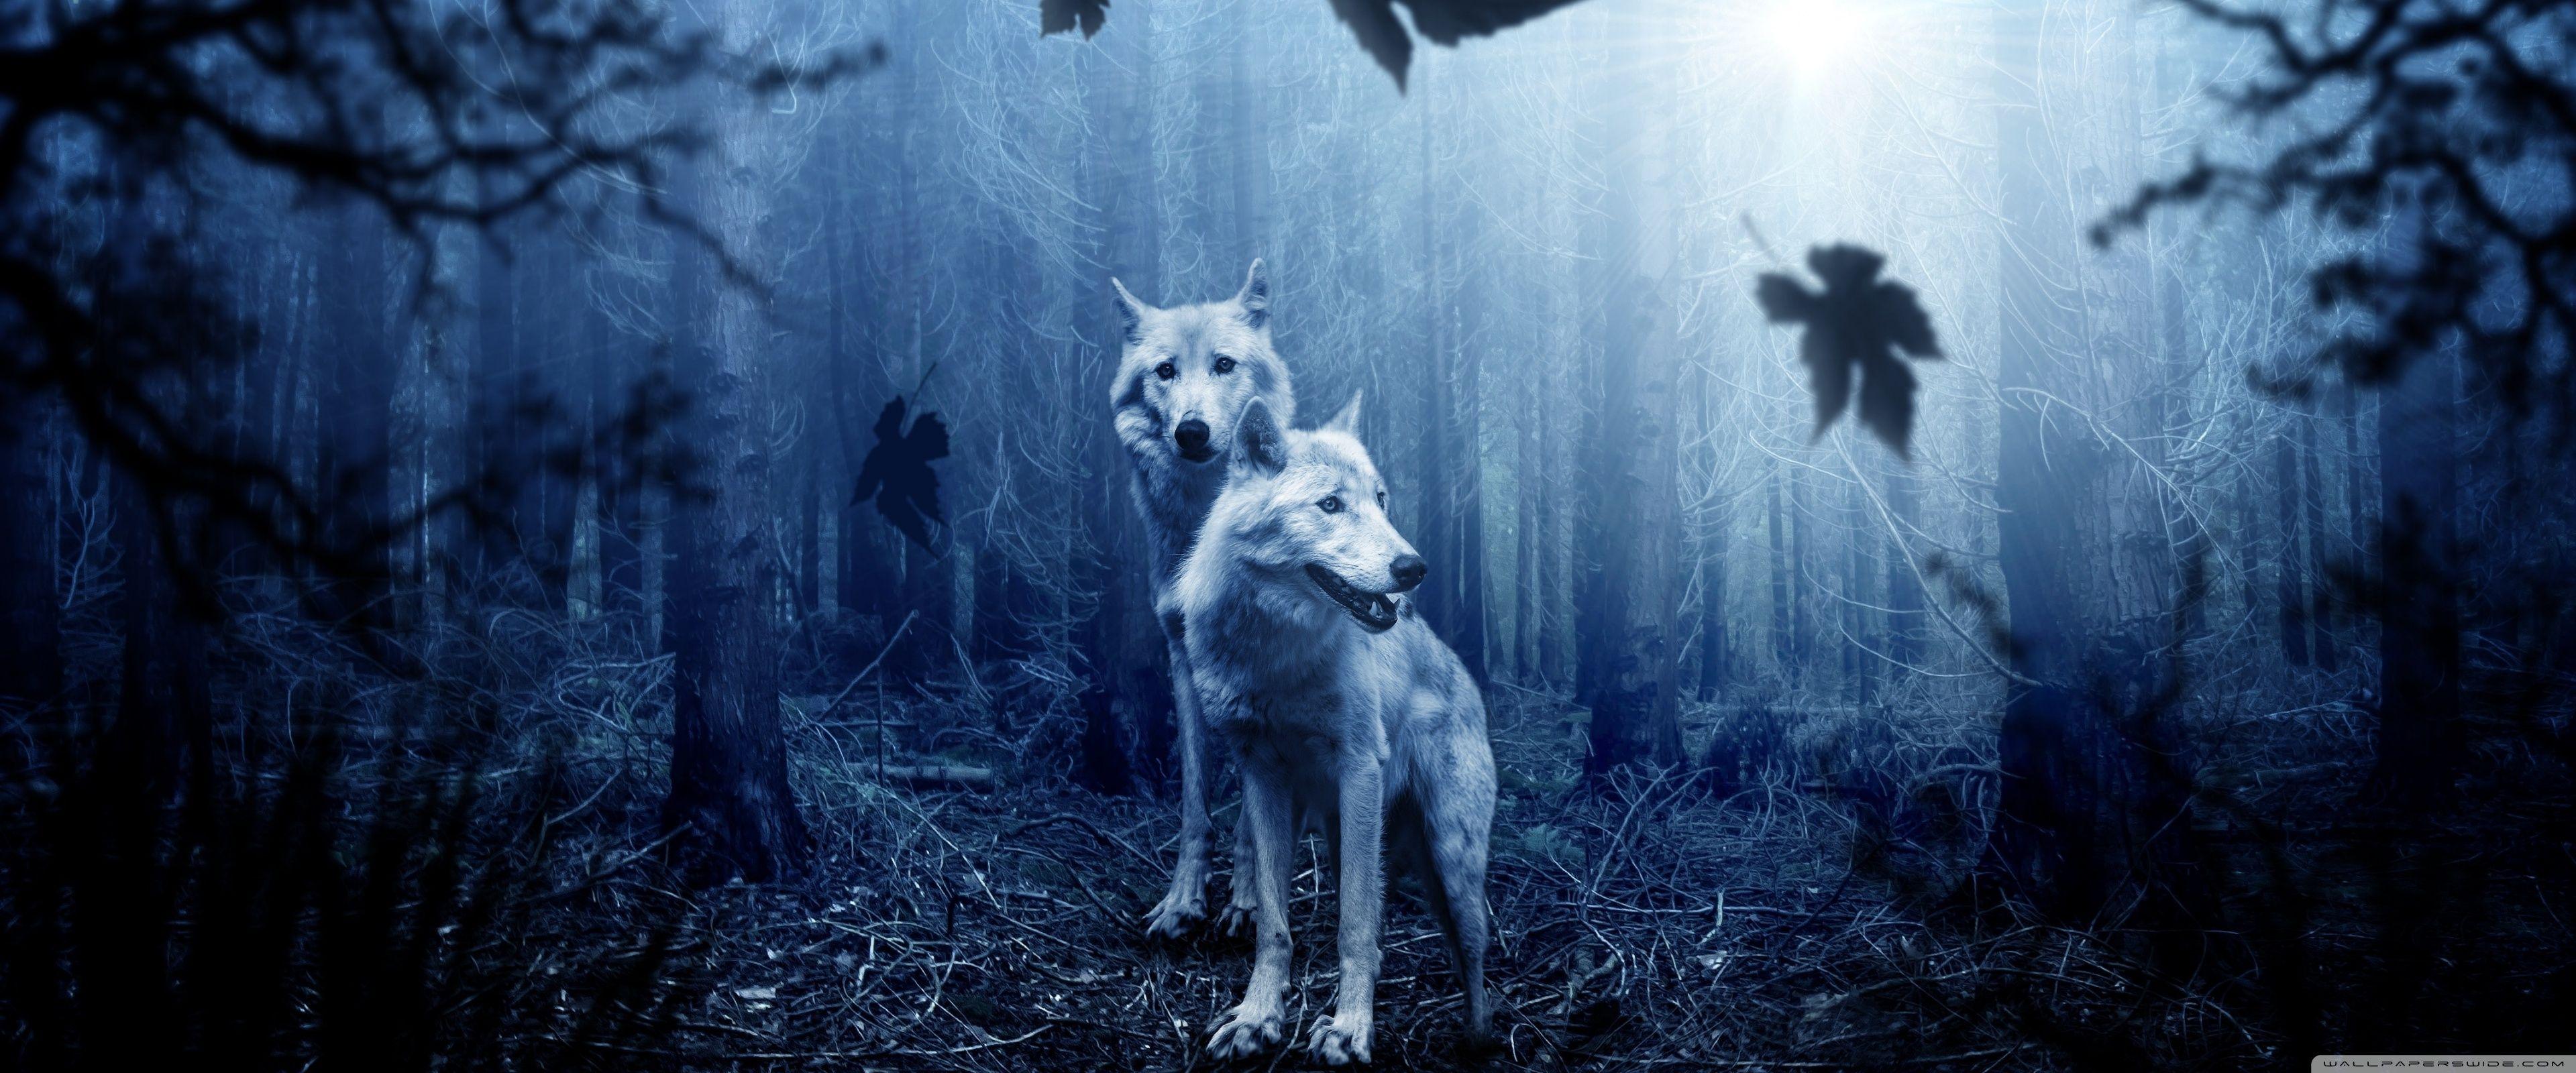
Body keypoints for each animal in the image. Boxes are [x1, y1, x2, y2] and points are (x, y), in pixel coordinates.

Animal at [1109, 260, 1297, 939]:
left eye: (1223, 364)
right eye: (1166, 370)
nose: (1192, 431)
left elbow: (1252, 817)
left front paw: (1247, 903)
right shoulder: (1182, 659)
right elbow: (1195, 802)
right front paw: (1183, 902)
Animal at [1173, 394, 1498, 1064]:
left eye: (1381, 499)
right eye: (1330, 505)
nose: (1414, 568)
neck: (1275, 657)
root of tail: (1466, 678)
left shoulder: (1358, 768)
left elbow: (1353, 927)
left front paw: (1349, 1030)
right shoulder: (1262, 776)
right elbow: (1274, 923)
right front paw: (1257, 1019)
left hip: (1450, 858)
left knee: (1472, 953)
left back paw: (1476, 1038)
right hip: (1344, 832)